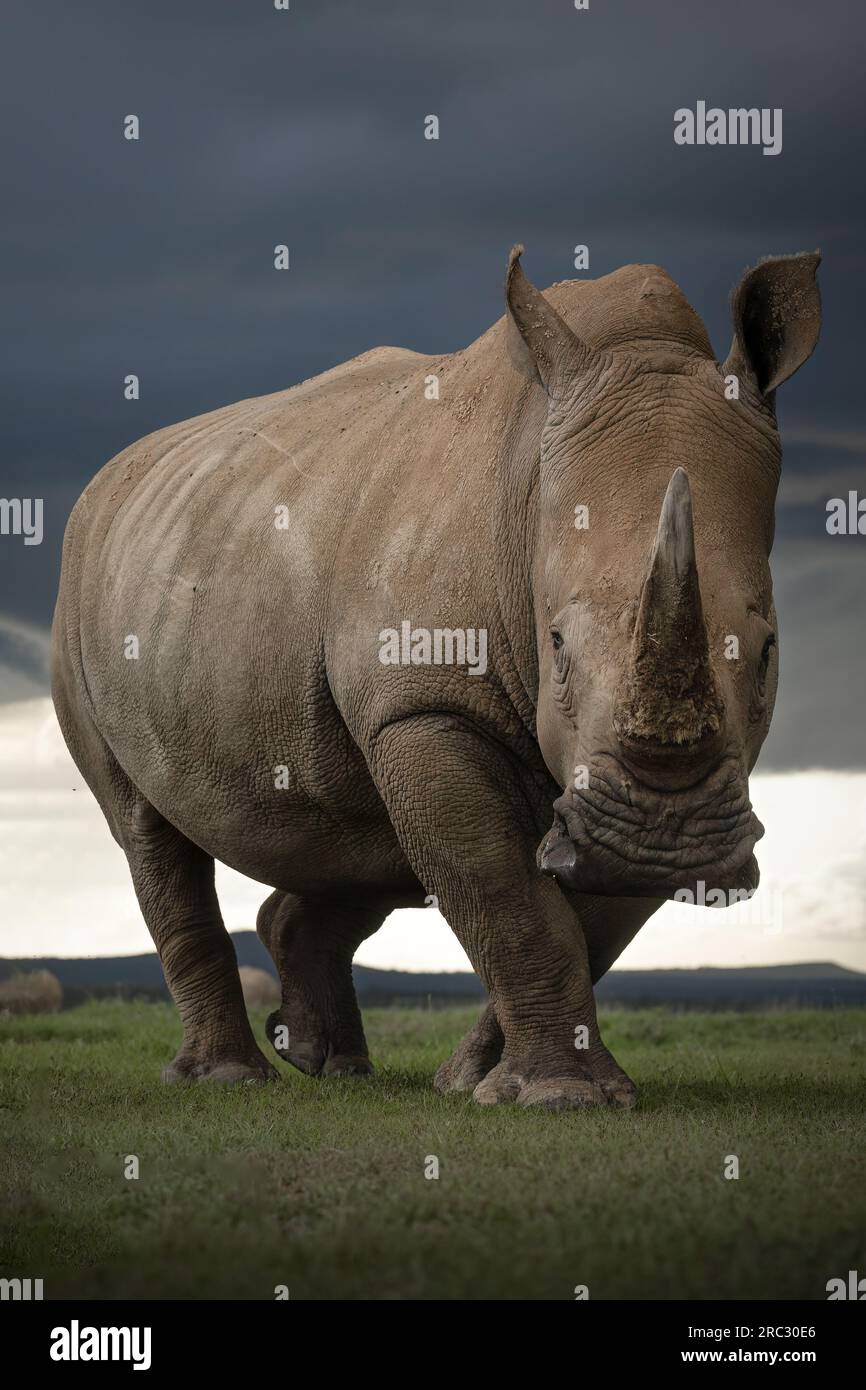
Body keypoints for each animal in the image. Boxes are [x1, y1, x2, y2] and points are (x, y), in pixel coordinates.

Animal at [52, 245, 821, 1109]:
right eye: (557, 646)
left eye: (766, 650)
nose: (665, 842)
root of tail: (109, 481)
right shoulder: (423, 704)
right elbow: (507, 894)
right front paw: (556, 1095)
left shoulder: (662, 781)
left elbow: (588, 918)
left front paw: (481, 1082)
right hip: (84, 596)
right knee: (147, 827)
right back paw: (229, 1078)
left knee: (357, 839)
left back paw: (329, 1063)